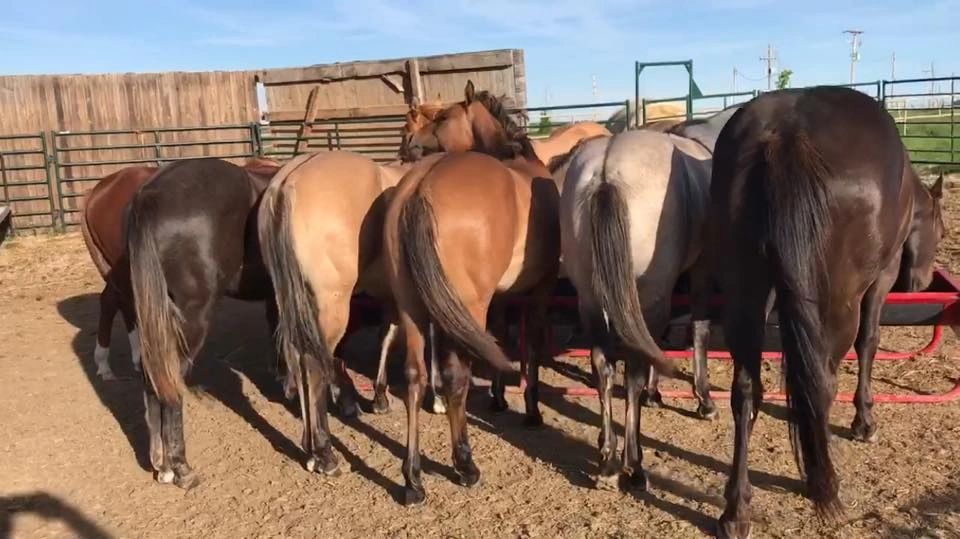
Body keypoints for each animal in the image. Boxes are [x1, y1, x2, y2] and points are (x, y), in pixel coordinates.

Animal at [126, 156, 283, 489]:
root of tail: (151, 193)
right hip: (193, 318)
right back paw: (181, 468)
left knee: (154, 377)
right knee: (171, 379)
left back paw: (162, 464)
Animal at [257, 151, 414, 475]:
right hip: (331, 306)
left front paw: (377, 397)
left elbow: (385, 337)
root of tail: (286, 184)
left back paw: (311, 449)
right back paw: (324, 453)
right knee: (313, 364)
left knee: (297, 358)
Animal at [385, 80, 560, 505]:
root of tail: (420, 188)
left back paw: (413, 480)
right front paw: (531, 411)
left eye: (444, 117)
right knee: (454, 378)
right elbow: (530, 349)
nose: (407, 144)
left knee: (414, 376)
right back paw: (465, 464)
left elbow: (497, 338)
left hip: (412, 309)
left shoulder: (500, 299)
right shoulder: (538, 291)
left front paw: (498, 398)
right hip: (465, 307)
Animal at [697, 86, 943, 538]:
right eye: (943, 229)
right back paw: (823, 484)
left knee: (746, 390)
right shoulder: (879, 281)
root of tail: (787, 134)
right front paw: (865, 421)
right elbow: (869, 343)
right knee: (821, 383)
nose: (920, 283)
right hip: (837, 303)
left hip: (745, 291)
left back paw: (737, 509)